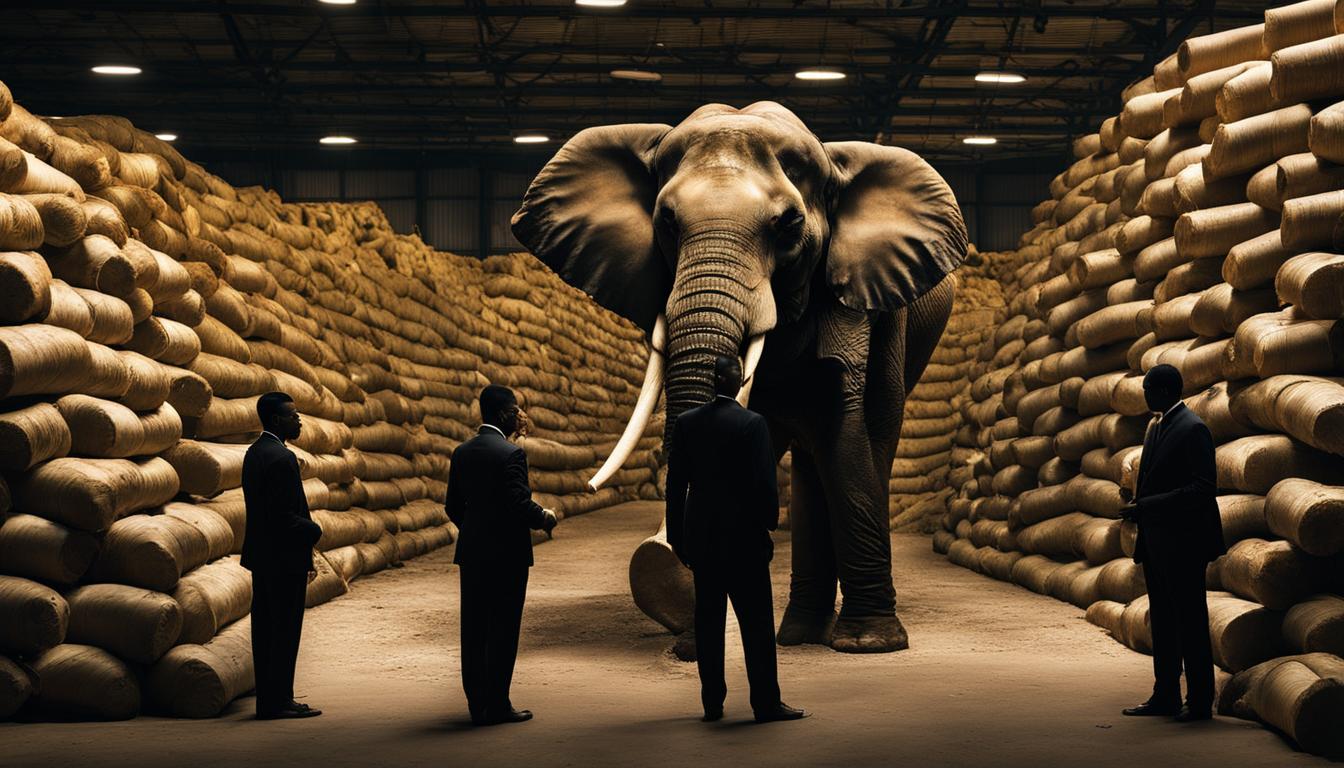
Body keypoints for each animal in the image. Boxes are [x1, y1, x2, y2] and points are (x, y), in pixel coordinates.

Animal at [511, 101, 967, 653]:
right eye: (666, 221)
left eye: (789, 224)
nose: (658, 560)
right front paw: (695, 642)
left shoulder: (853, 293)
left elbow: (845, 432)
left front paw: (869, 645)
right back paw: (796, 635)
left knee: (860, 438)